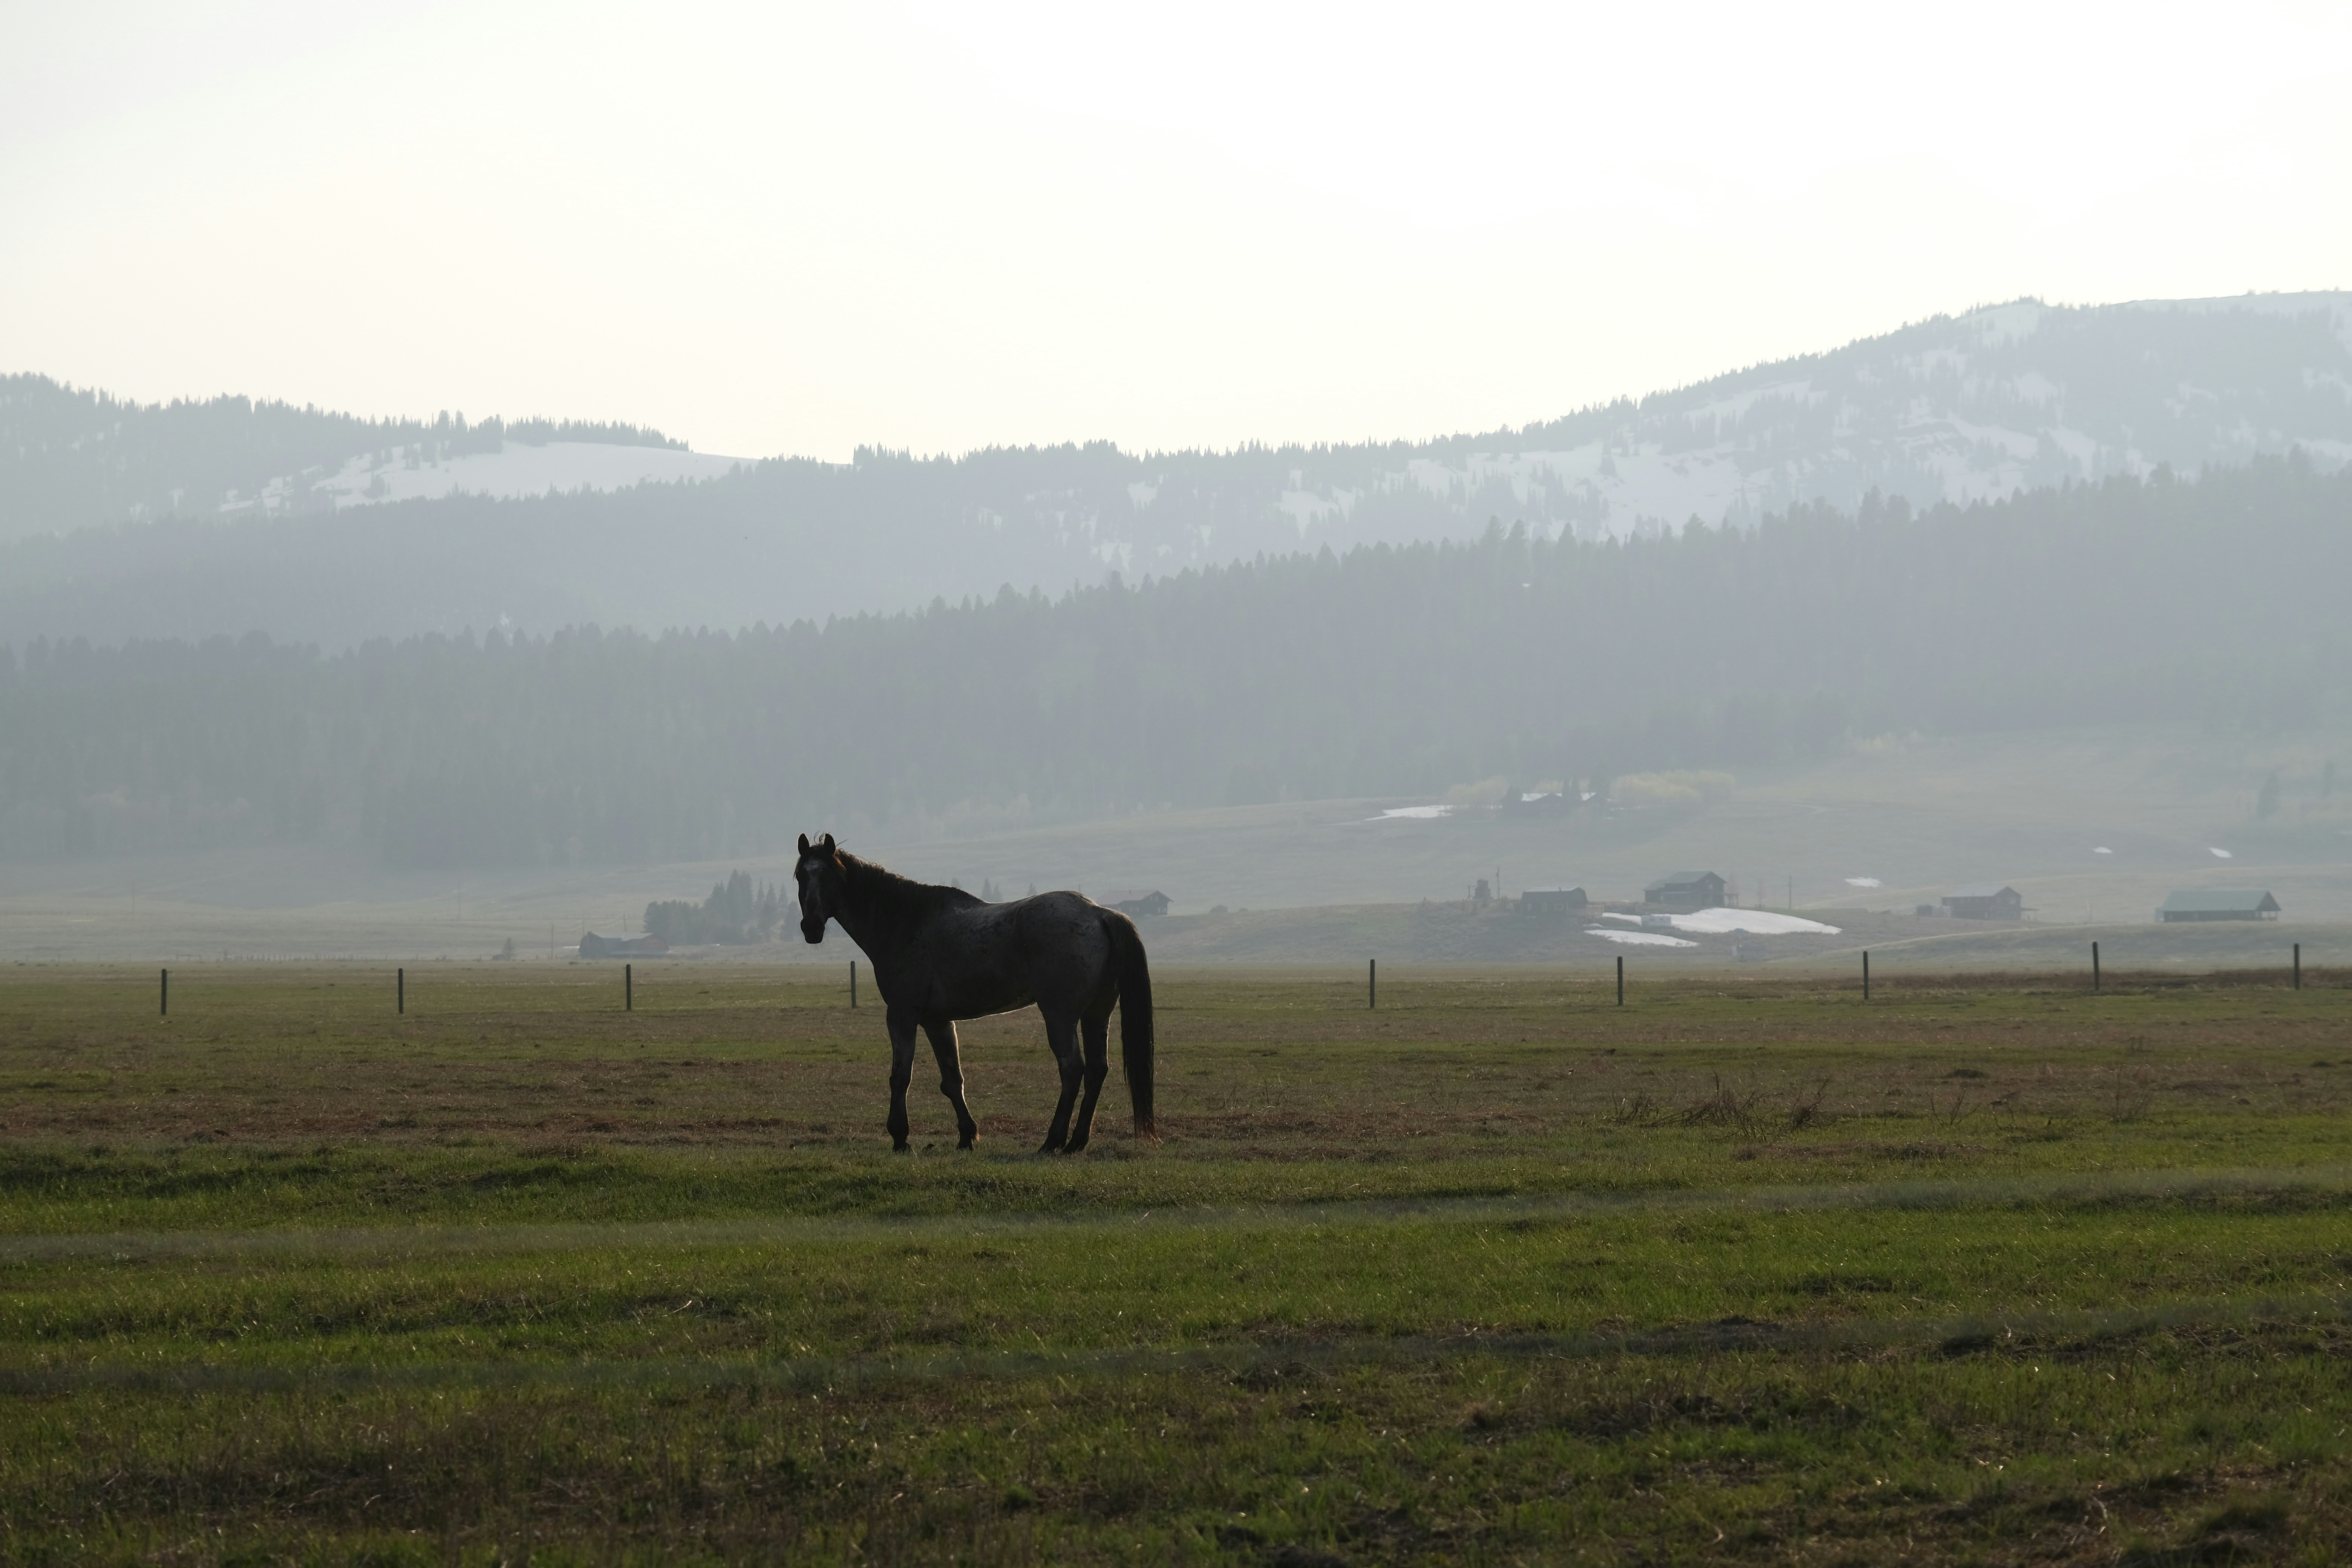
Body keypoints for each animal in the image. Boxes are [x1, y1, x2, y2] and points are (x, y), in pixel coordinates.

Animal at [791, 833, 1155, 1154]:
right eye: (800, 876)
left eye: (830, 877)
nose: (810, 927)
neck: (906, 923)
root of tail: (1099, 913)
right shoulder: (937, 1022)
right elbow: (953, 1079)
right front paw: (967, 1136)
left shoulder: (902, 1015)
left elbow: (901, 1077)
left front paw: (900, 1137)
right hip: (1097, 1014)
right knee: (1096, 1070)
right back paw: (1077, 1142)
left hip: (1060, 1016)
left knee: (1072, 1070)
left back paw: (1053, 1141)